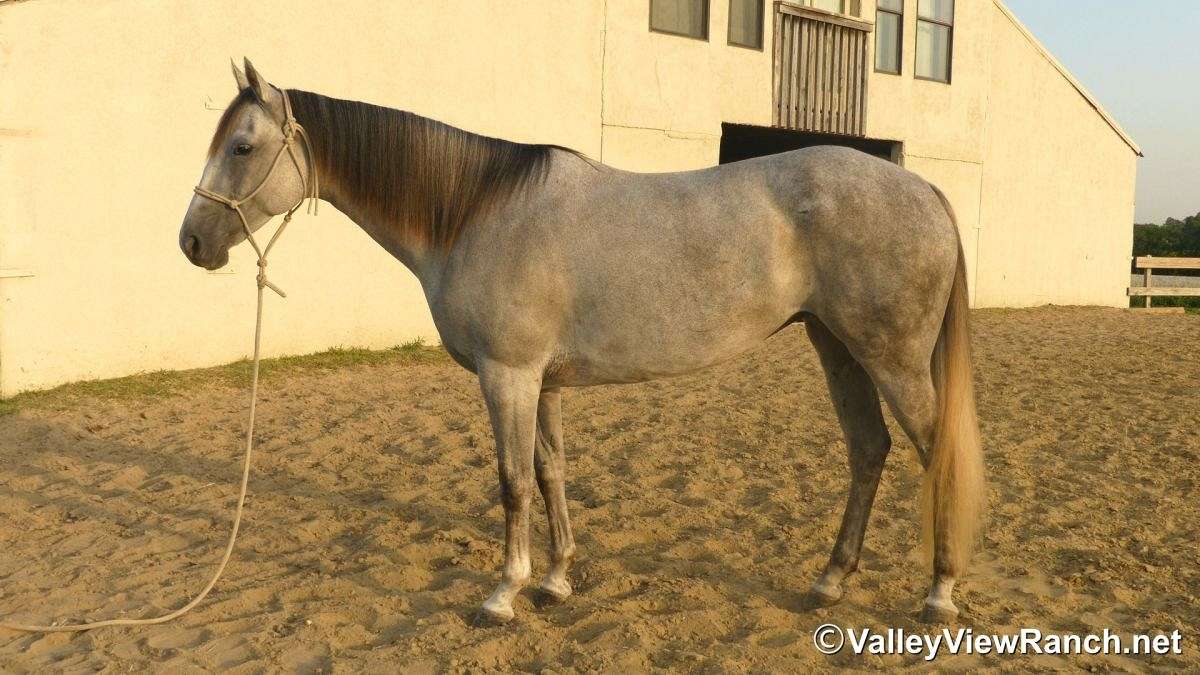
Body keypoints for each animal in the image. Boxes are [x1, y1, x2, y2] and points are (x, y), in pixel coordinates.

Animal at [180, 59, 985, 625]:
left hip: (891, 358)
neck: (477, 210)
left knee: (932, 450)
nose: (192, 242)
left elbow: (511, 482)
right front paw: (556, 579)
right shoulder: (543, 381)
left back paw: (938, 593)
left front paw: (502, 594)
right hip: (837, 346)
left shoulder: (507, 375)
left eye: (243, 146)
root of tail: (926, 191)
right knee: (868, 449)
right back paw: (829, 582)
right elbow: (550, 471)